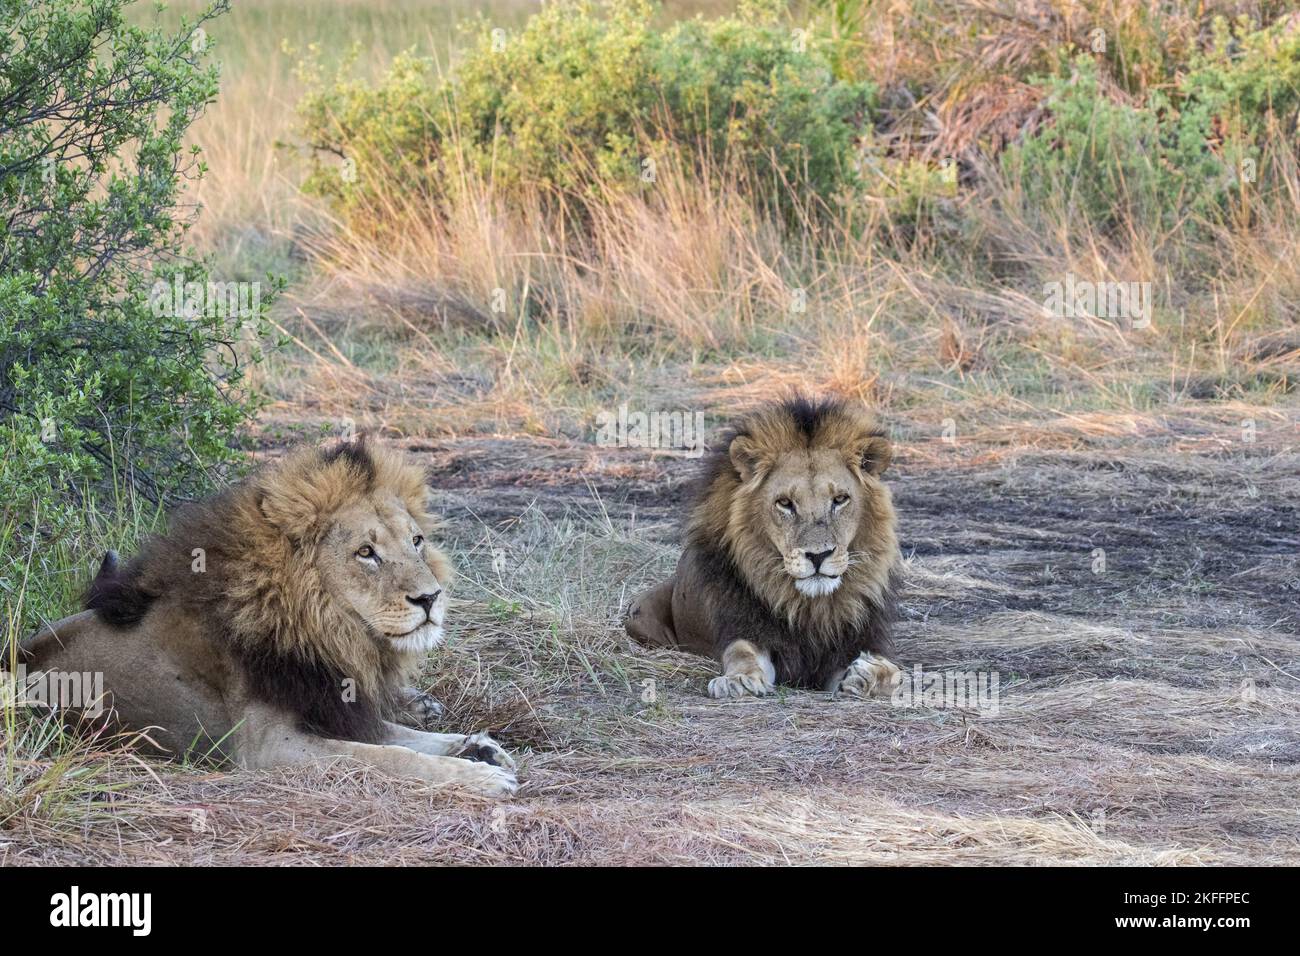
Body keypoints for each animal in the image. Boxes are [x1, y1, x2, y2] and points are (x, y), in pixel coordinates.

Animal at [4, 440, 517, 797]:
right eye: (366, 553)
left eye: (416, 541)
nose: (431, 598)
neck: (325, 631)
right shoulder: (270, 746)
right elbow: (389, 758)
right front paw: (479, 777)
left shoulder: (333, 708)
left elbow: (407, 738)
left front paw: (478, 747)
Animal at [625, 395, 903, 700]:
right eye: (785, 503)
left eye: (840, 499)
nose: (818, 556)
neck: (808, 607)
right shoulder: (746, 629)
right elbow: (741, 653)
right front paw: (737, 680)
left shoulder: (853, 642)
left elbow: (892, 671)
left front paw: (868, 674)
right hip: (638, 612)